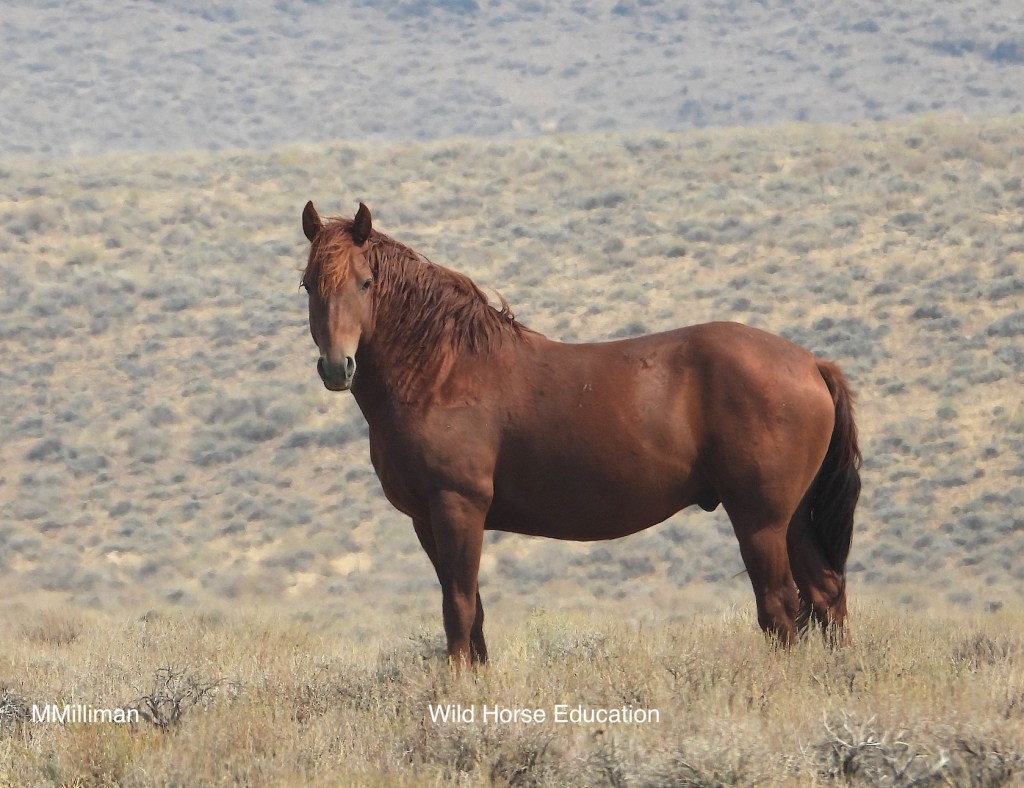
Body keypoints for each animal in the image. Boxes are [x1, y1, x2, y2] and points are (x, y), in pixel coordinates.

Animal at [298, 200, 861, 665]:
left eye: (365, 282)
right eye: (308, 284)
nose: (337, 367)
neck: (444, 370)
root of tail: (810, 364)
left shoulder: (458, 507)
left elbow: (458, 608)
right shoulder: (426, 519)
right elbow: (471, 613)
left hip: (761, 521)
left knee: (780, 607)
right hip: (792, 518)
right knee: (825, 593)